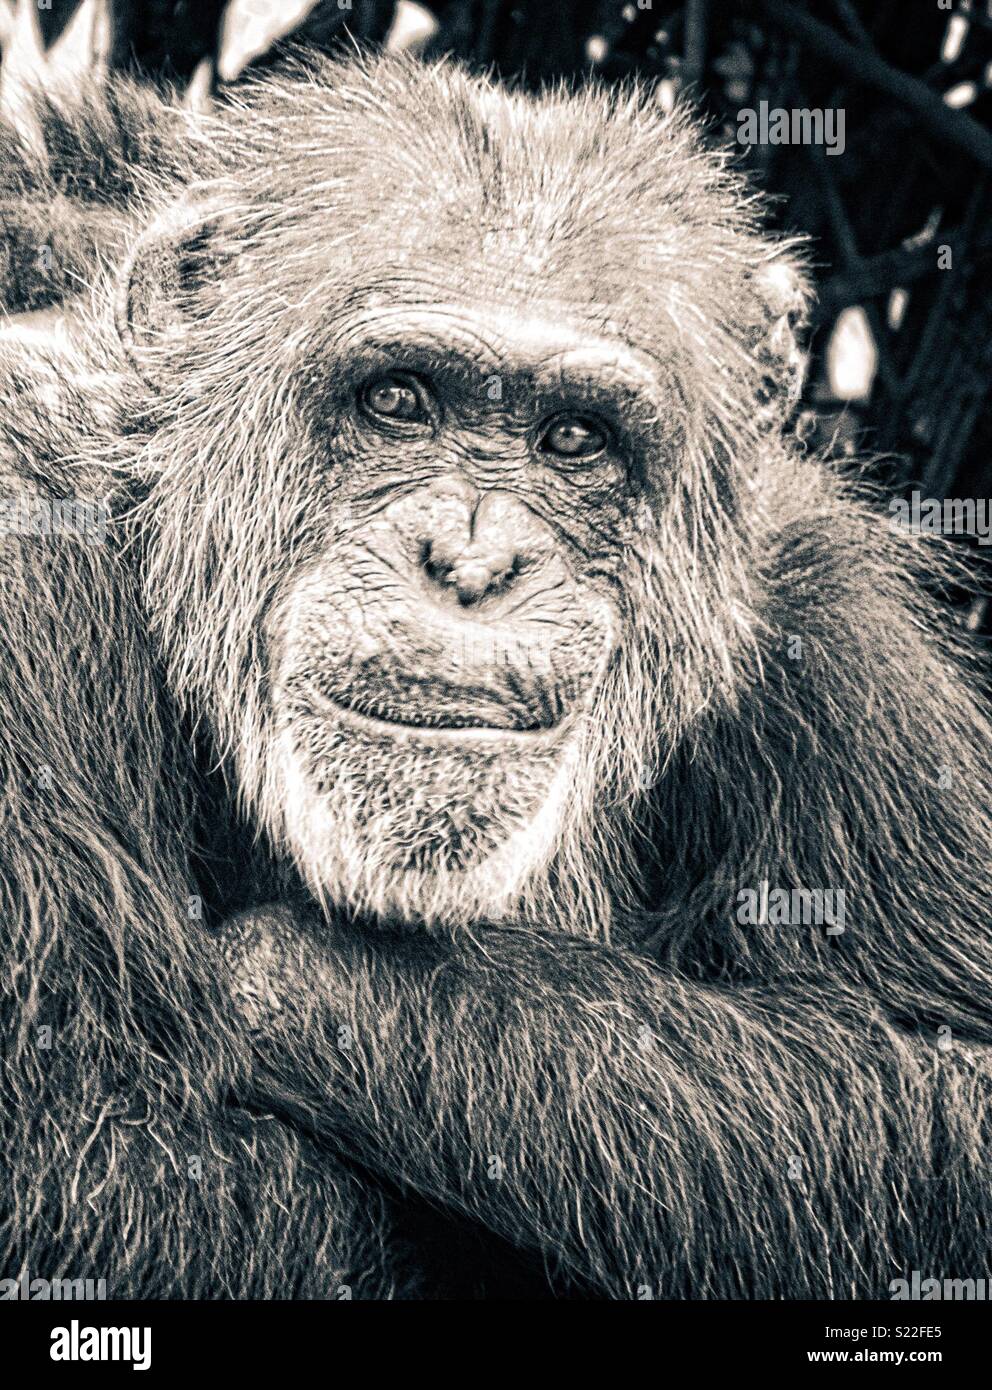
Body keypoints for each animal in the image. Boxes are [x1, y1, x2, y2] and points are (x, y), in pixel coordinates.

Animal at [2, 50, 992, 1301]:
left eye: (573, 437)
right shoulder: (21, 550)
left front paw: (292, 981)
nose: (472, 560)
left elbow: (954, 1082)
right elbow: (86, 1160)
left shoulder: (835, 639)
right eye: (397, 399)